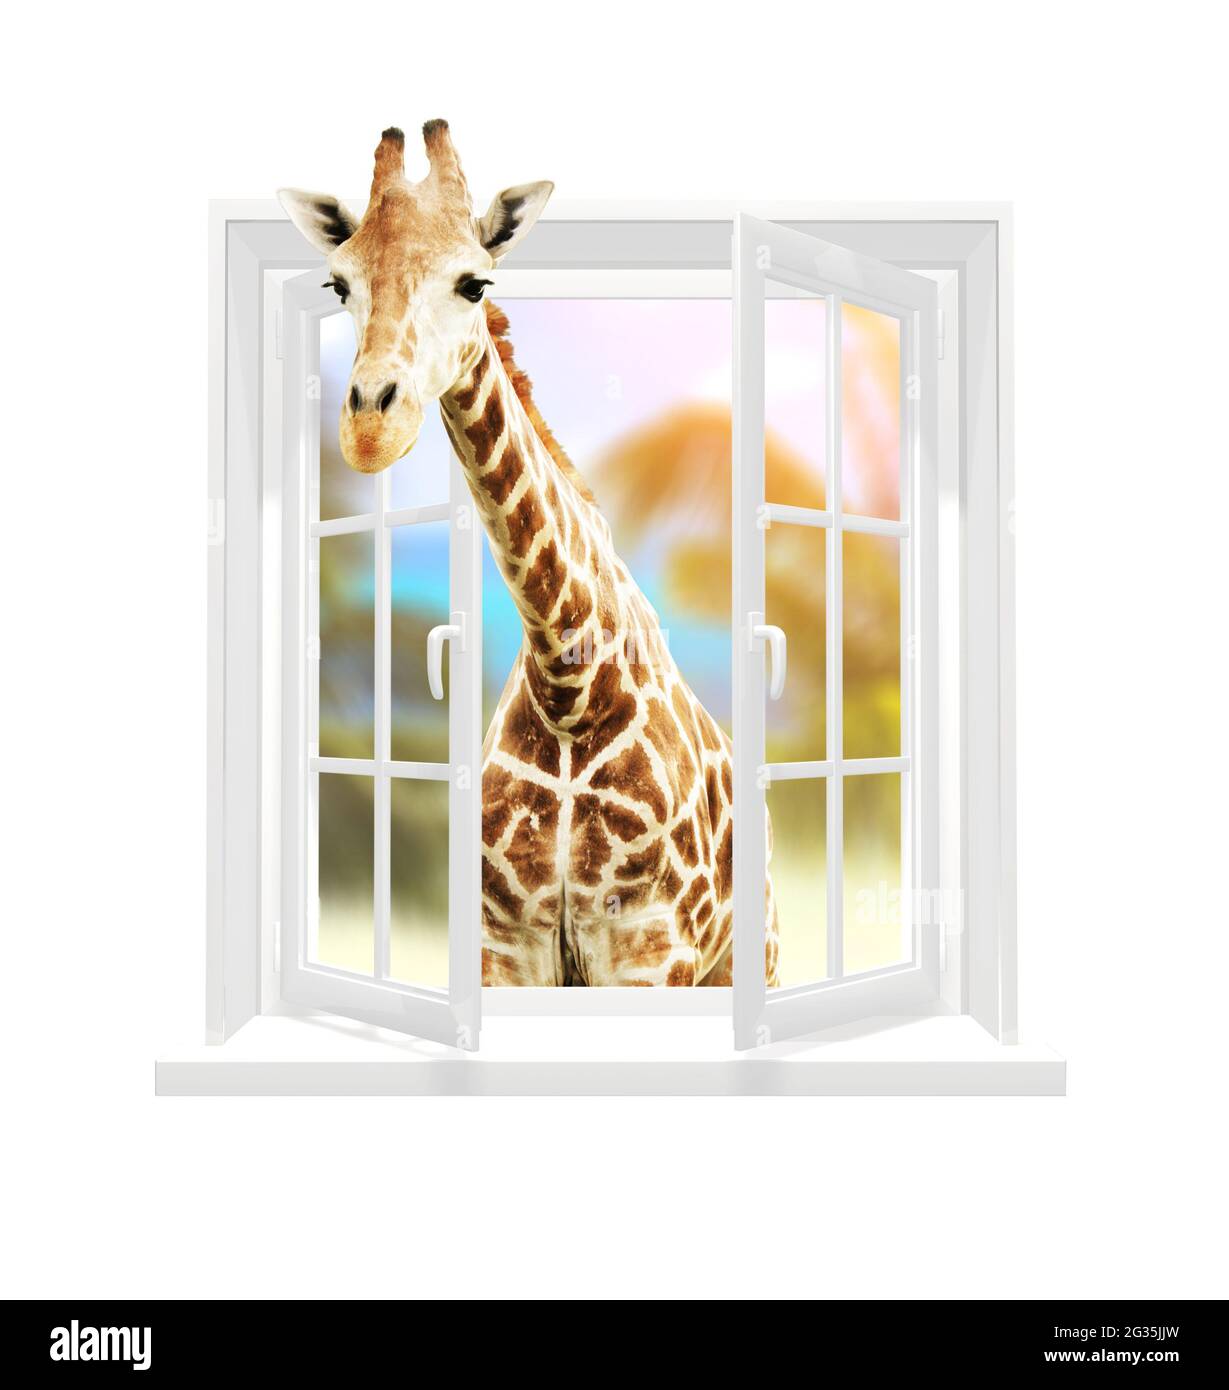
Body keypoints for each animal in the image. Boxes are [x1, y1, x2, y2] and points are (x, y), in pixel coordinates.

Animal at [280, 122, 779, 986]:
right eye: (337, 284)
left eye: (474, 283)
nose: (370, 429)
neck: (570, 687)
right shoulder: (502, 948)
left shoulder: (650, 950)